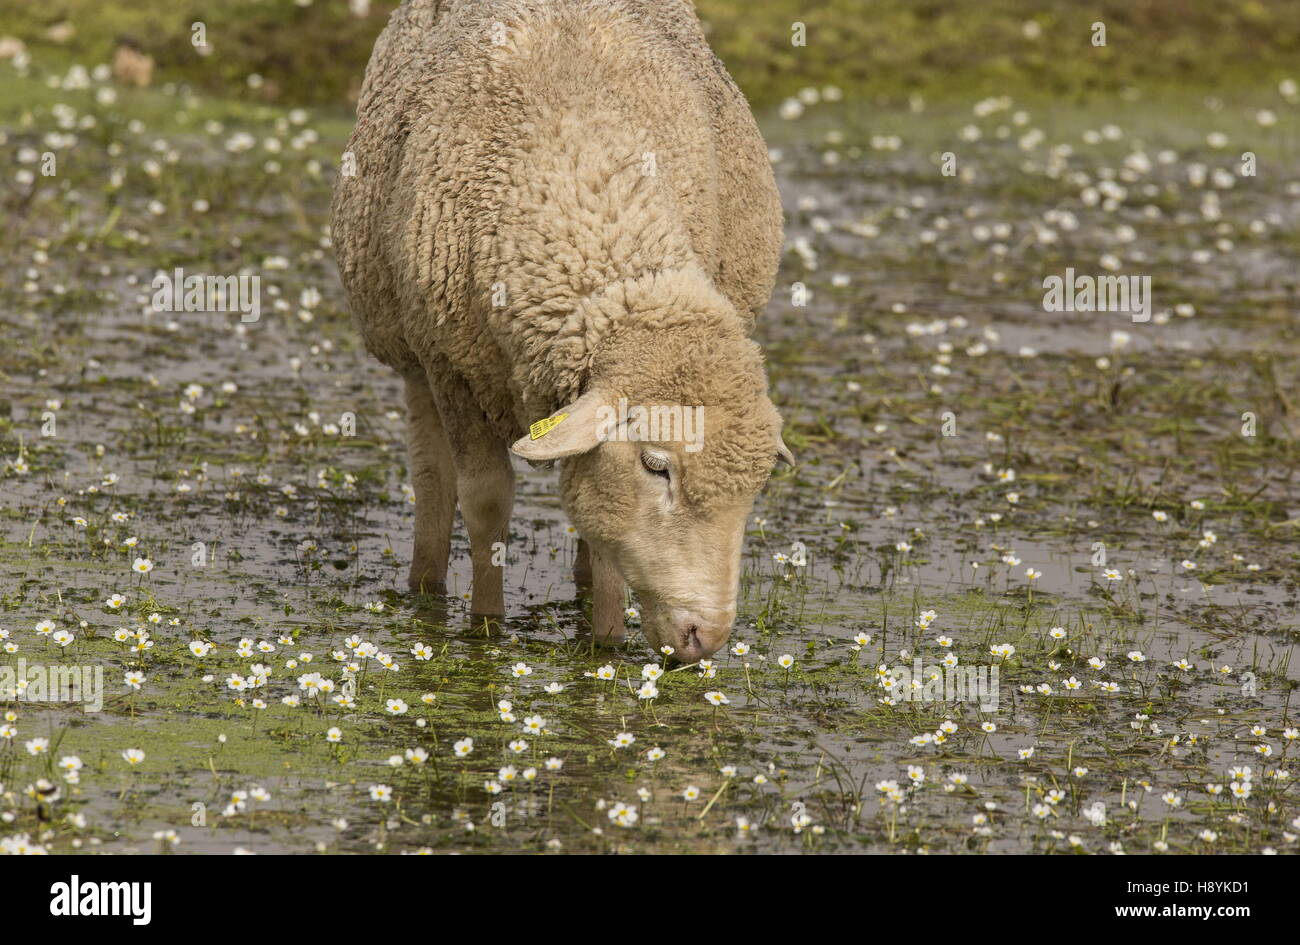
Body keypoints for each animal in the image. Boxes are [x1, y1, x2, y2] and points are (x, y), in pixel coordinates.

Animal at [331, 0, 789, 661]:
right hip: (411, 346)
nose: (705, 638)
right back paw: (424, 587)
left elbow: (602, 528)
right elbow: (485, 500)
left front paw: (605, 643)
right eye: (657, 467)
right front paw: (485, 627)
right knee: (432, 477)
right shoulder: (453, 368)